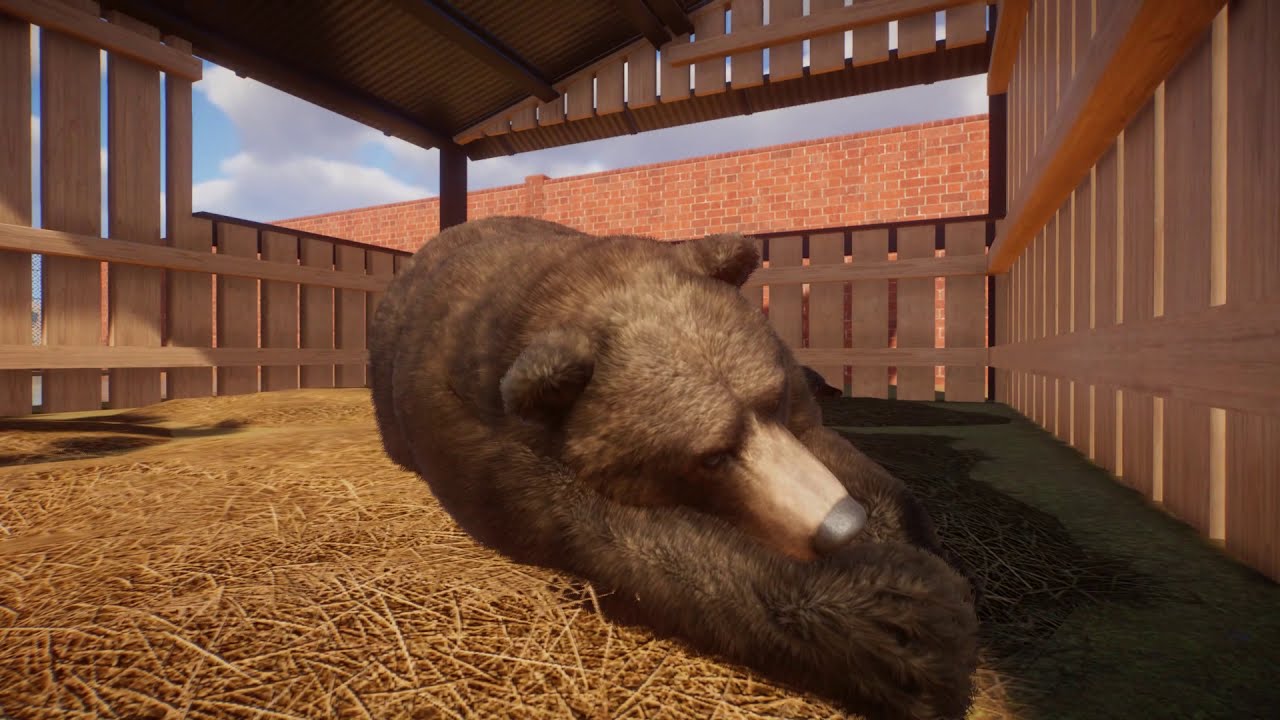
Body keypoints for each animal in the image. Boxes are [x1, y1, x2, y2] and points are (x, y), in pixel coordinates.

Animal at [368, 216, 978, 720]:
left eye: (772, 398)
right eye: (711, 455)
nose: (840, 523)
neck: (568, 284)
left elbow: (831, 448)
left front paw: (903, 535)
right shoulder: (490, 438)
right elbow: (628, 537)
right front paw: (901, 620)